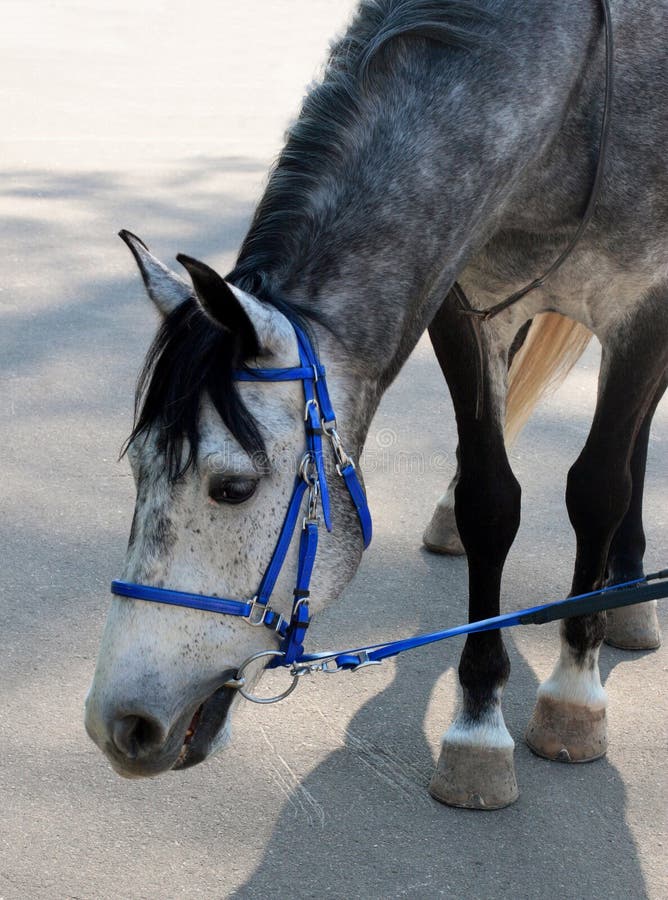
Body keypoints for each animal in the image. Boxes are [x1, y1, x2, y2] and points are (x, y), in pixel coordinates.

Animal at [85, 0, 668, 808]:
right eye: (139, 471)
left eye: (231, 488)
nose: (119, 724)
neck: (573, 111)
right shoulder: (464, 302)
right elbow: (491, 499)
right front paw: (477, 724)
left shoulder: (647, 305)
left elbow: (598, 487)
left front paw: (573, 696)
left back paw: (628, 591)